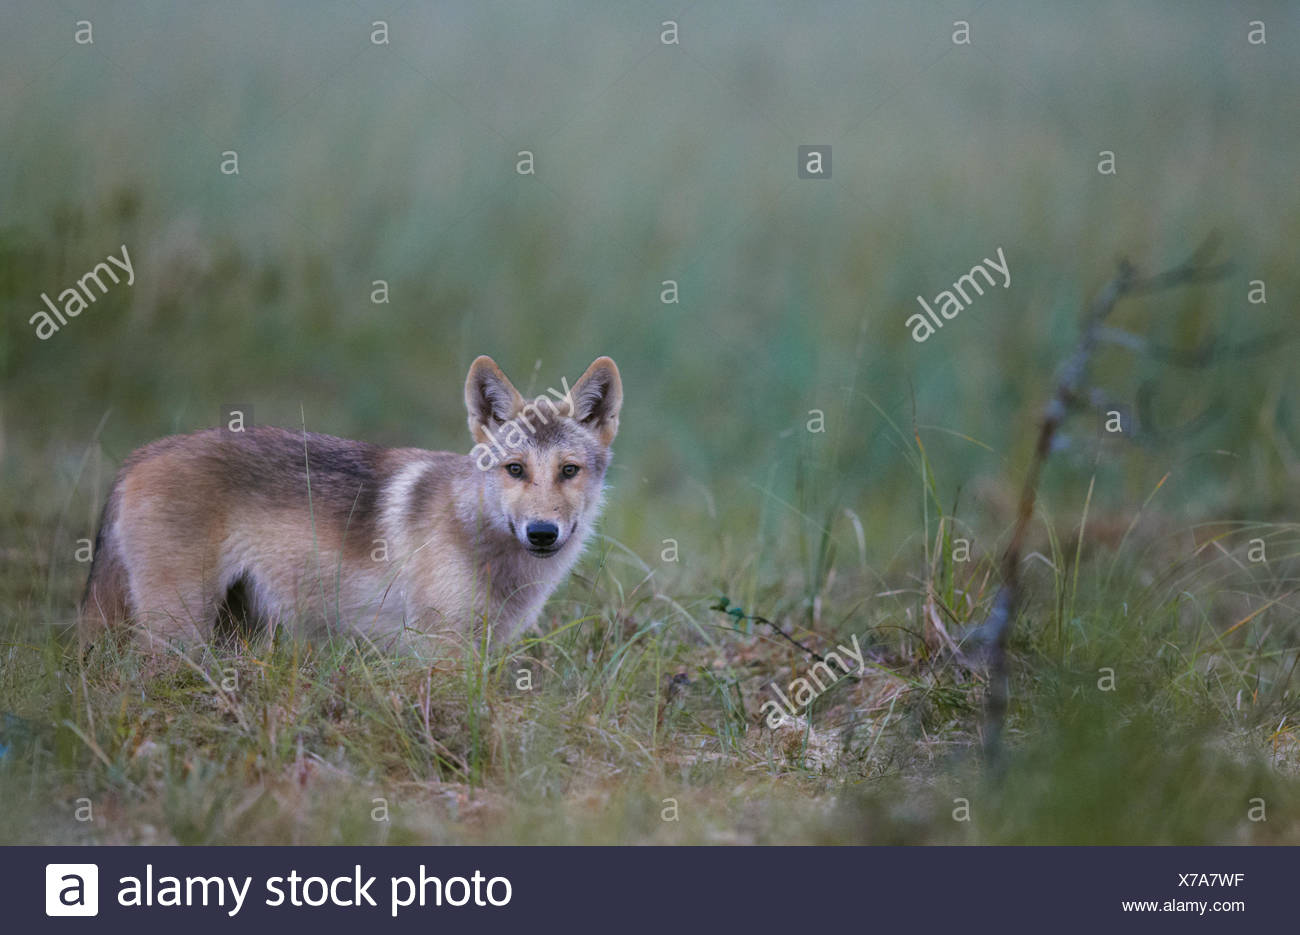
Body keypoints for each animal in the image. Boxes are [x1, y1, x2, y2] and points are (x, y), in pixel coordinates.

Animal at [80, 356, 622, 653]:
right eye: (515, 470)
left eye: (568, 471)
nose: (542, 533)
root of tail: (140, 455)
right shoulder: (441, 652)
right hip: (180, 631)